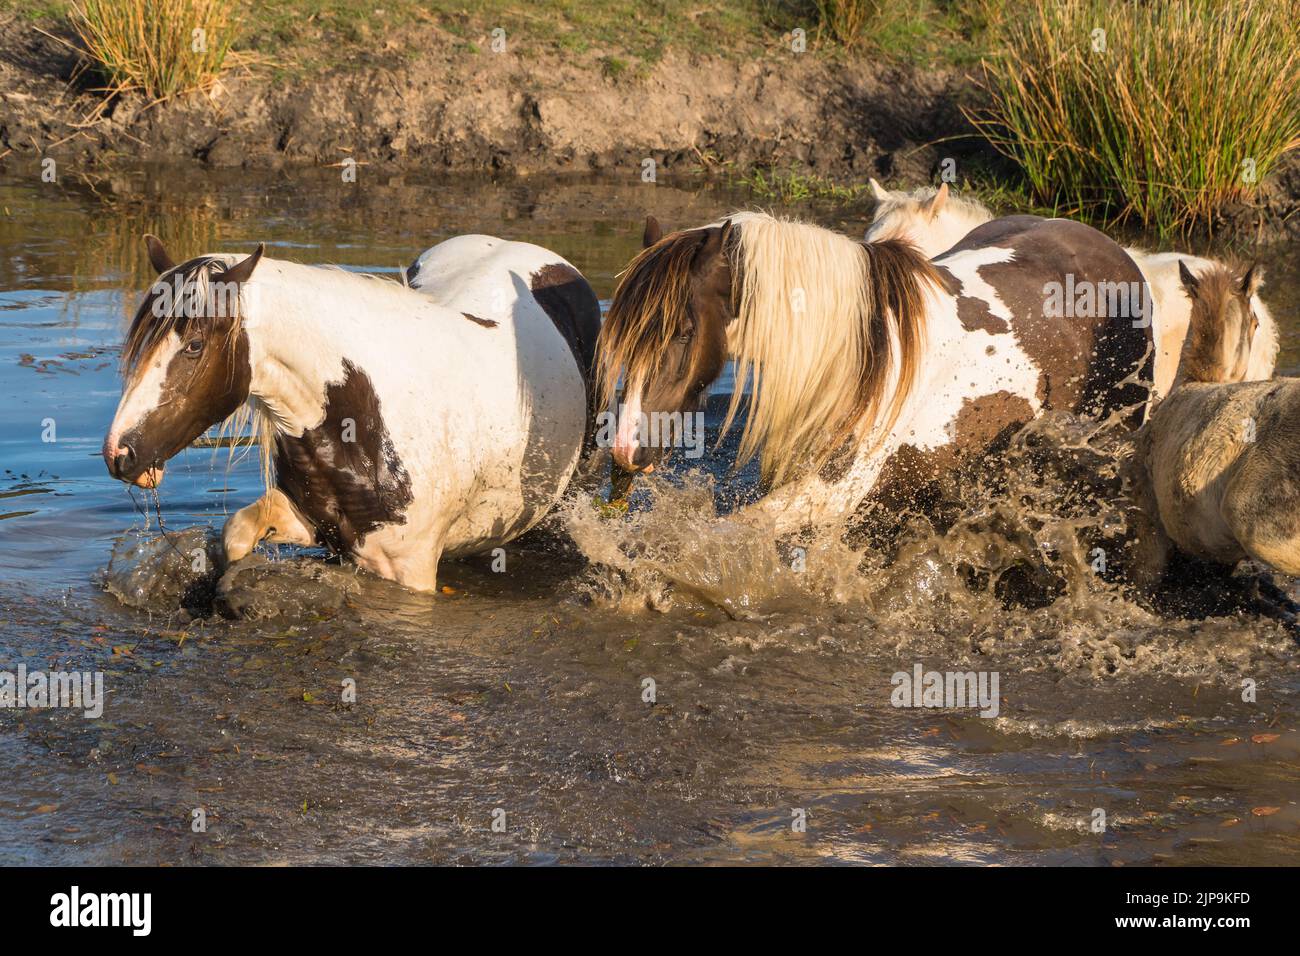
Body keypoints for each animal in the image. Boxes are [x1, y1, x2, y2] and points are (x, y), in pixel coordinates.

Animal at [103, 233, 602, 592]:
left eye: (194, 345)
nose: (120, 454)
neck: (364, 421)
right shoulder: (318, 527)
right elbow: (239, 532)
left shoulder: (411, 568)